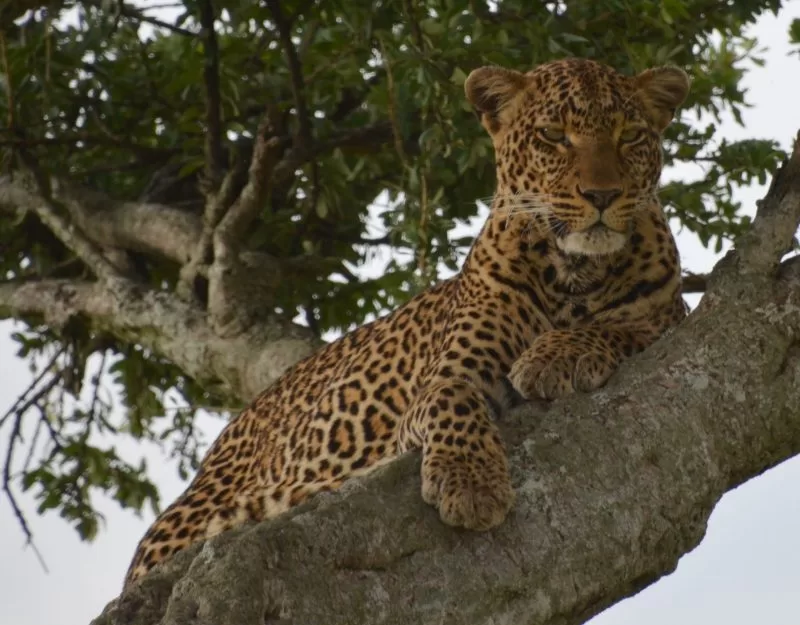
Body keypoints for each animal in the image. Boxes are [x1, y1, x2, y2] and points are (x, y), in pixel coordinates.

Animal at [123, 57, 690, 588]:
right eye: (553, 135)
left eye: (630, 136)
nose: (602, 195)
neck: (574, 271)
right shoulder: (444, 379)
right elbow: (451, 396)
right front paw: (472, 484)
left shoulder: (669, 316)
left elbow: (623, 327)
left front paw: (557, 354)